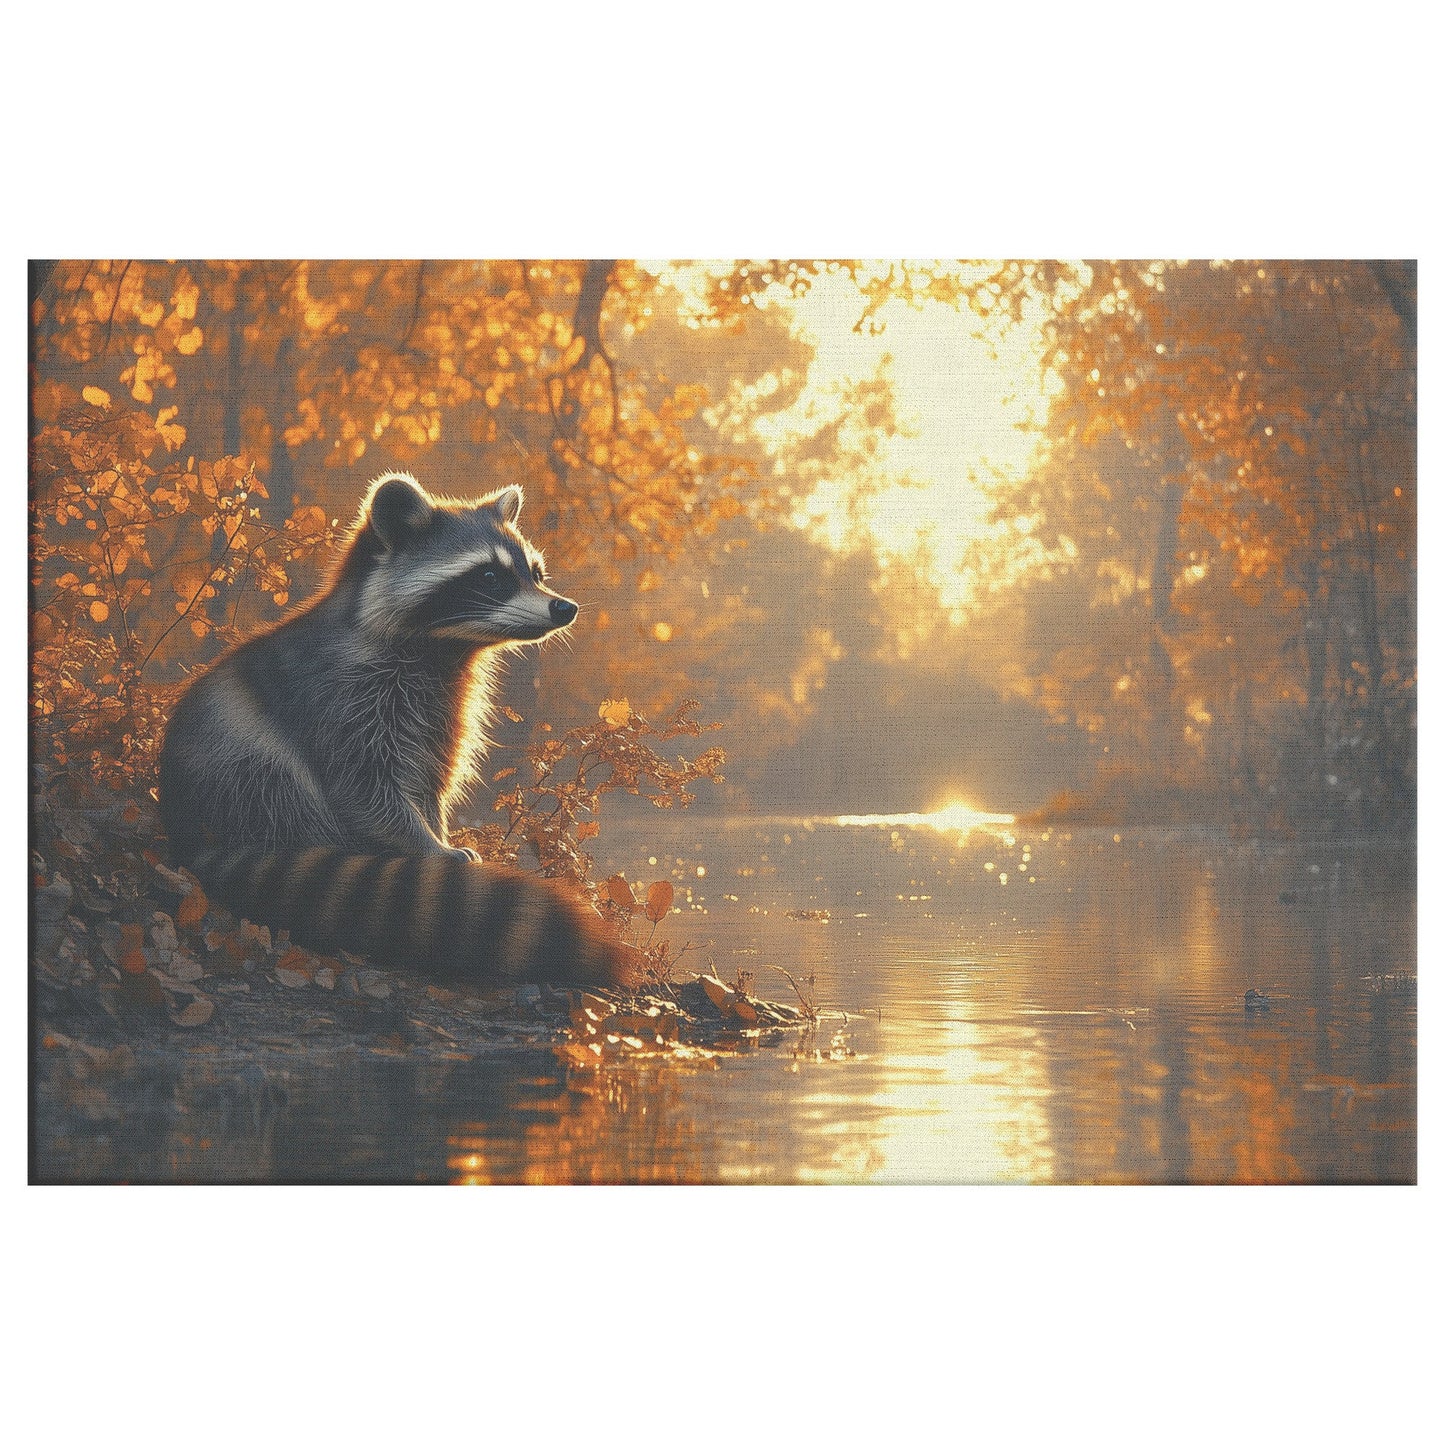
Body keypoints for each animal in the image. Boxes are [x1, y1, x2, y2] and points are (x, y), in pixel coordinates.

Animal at [158, 472, 633, 988]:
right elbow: (363, 788)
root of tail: (190, 837)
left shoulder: (442, 708)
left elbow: (428, 779)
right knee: (284, 784)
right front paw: (428, 847)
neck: (444, 648)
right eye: (489, 576)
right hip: (248, 776)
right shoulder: (341, 693)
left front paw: (436, 831)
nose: (565, 608)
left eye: (536, 574)